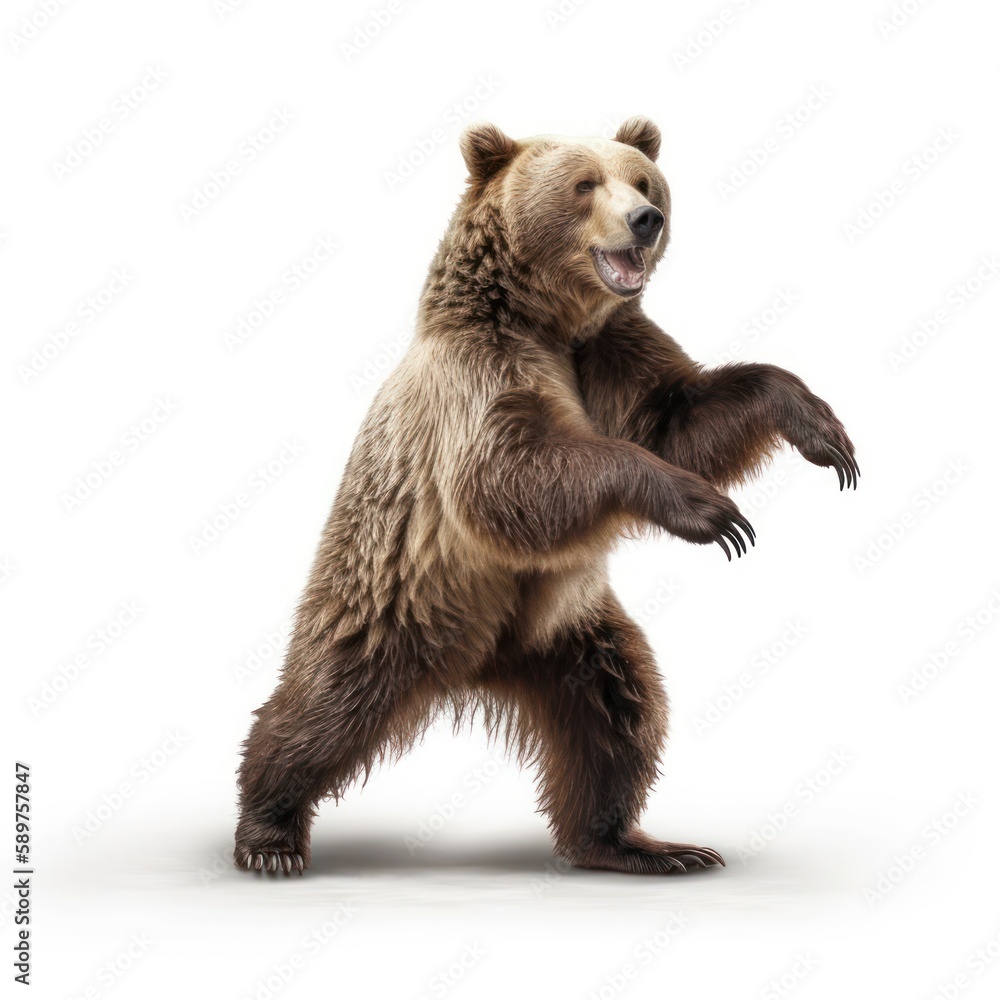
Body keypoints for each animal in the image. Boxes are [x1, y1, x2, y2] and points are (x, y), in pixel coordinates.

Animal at [233, 116, 858, 876]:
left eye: (643, 181)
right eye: (585, 184)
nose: (645, 220)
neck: (548, 321)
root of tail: (474, 665)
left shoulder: (611, 354)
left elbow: (681, 418)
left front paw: (819, 427)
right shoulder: (481, 378)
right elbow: (509, 476)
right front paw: (709, 511)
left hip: (568, 634)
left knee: (621, 714)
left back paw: (638, 845)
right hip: (393, 599)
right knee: (325, 704)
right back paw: (269, 833)